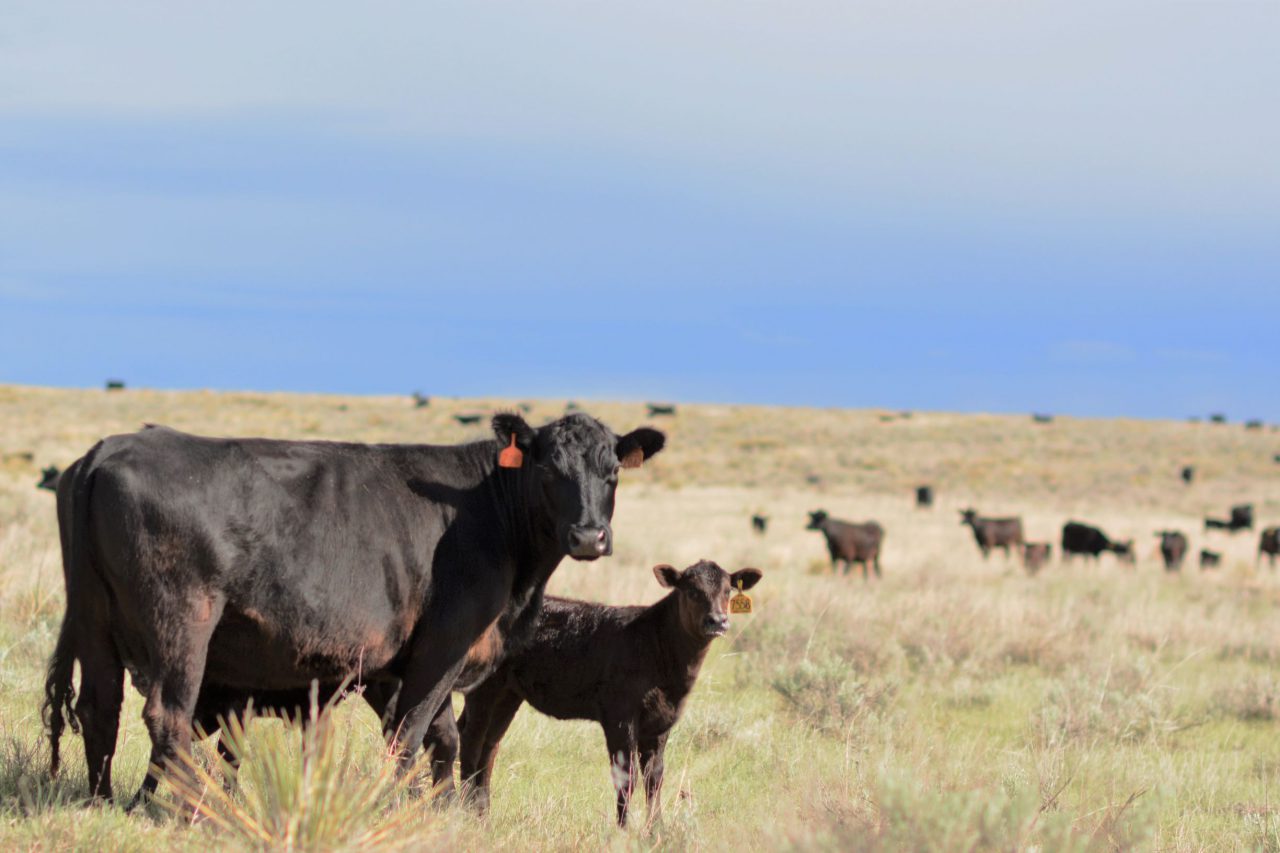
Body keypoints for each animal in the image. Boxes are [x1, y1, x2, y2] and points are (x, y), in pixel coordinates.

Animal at [42, 412, 665, 807]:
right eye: (548, 470)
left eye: (612, 473)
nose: (589, 536)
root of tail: (106, 449)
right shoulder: (445, 642)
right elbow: (411, 735)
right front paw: (392, 805)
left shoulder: (403, 661)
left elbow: (442, 738)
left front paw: (437, 812)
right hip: (183, 620)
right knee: (166, 717)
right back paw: (197, 808)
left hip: (94, 620)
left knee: (100, 710)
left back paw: (102, 803)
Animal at [456, 560, 763, 827]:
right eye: (691, 590)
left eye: (727, 590)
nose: (717, 620)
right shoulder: (619, 714)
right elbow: (626, 777)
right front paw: (624, 829)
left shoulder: (661, 721)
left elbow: (655, 777)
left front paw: (656, 830)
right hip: (485, 687)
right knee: (472, 740)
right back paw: (466, 814)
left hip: (508, 693)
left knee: (490, 745)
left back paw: (483, 815)